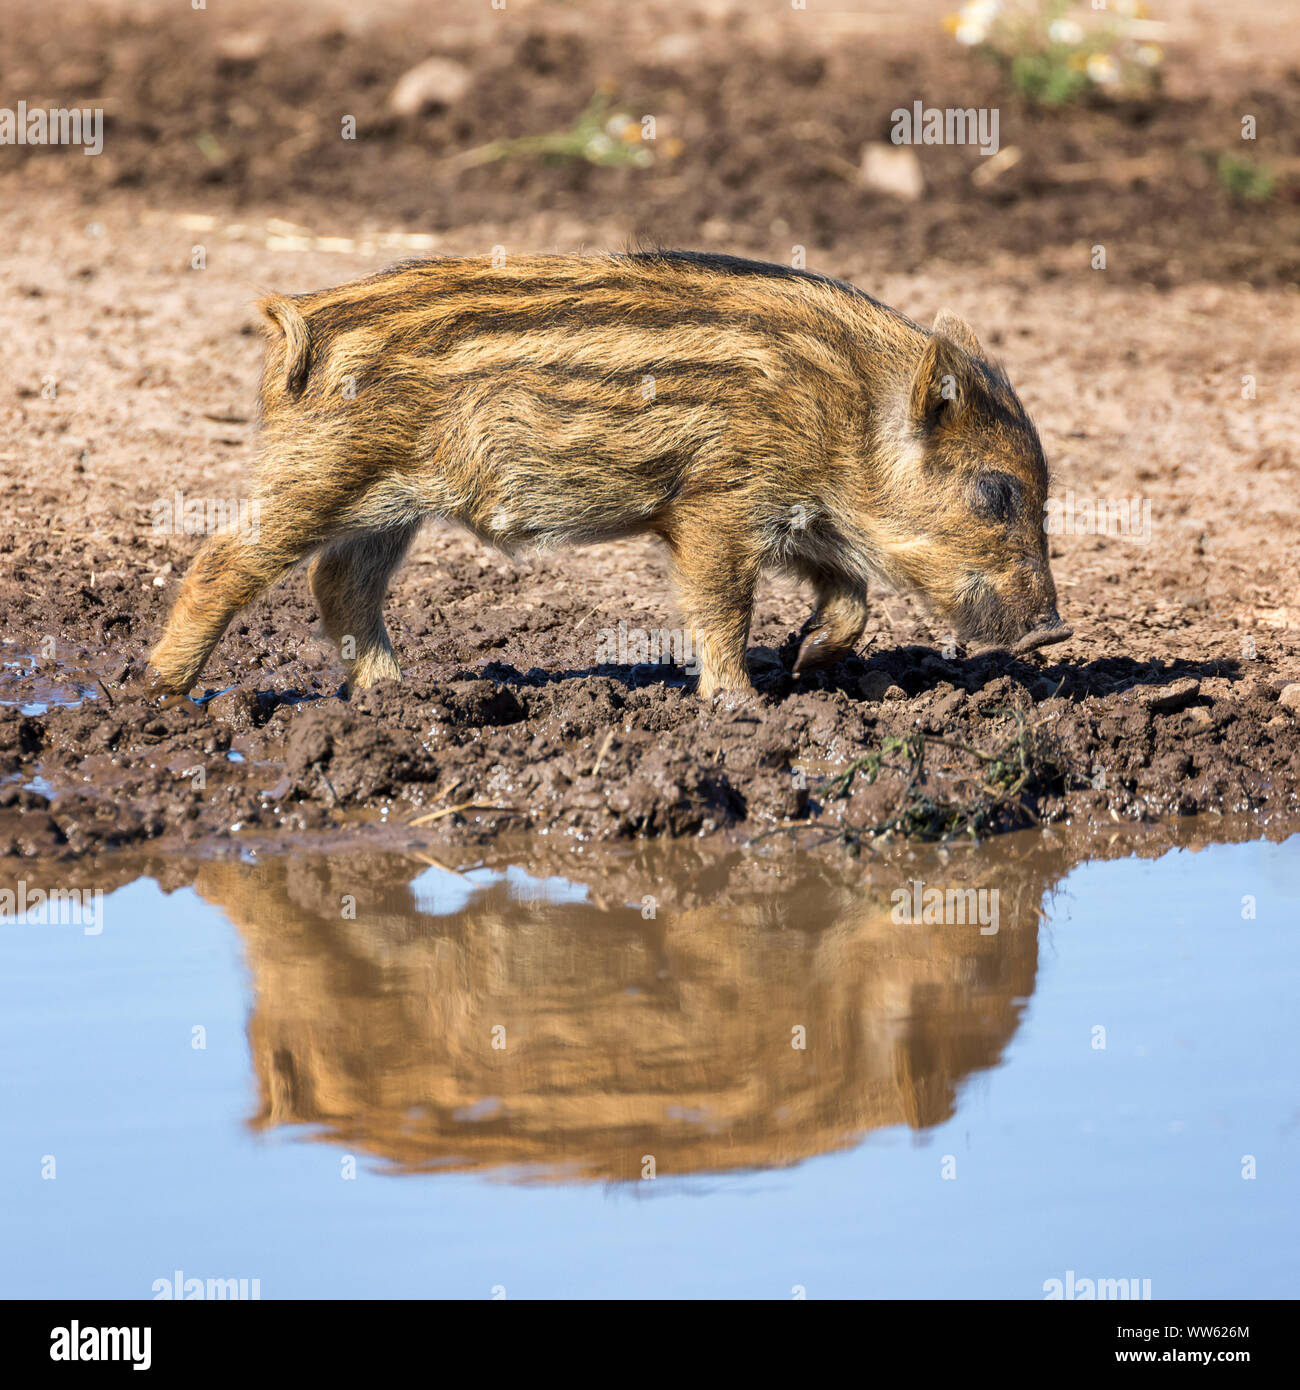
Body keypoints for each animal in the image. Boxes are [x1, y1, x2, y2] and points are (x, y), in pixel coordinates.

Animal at [146, 251, 1070, 700]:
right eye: (996, 491)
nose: (1056, 634)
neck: (847, 418)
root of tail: (299, 324)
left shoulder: (801, 521)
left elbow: (851, 595)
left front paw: (806, 664)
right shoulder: (715, 505)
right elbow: (723, 607)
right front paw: (741, 706)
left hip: (388, 505)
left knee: (340, 585)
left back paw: (399, 700)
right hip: (322, 473)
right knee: (224, 561)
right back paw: (162, 693)